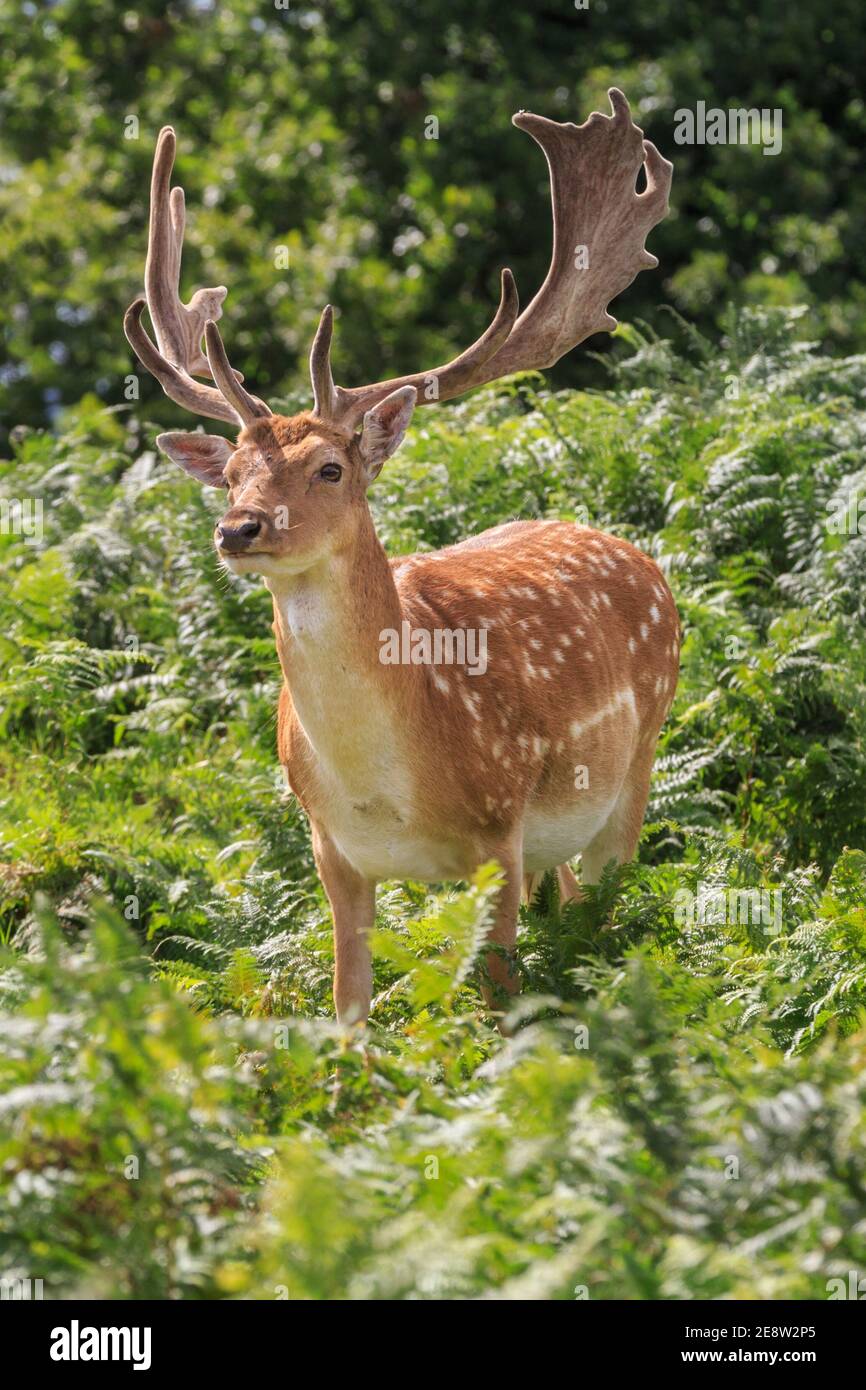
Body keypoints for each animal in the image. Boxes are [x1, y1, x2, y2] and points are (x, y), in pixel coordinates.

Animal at [124, 89, 678, 1027]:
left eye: (330, 468)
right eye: (230, 473)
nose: (240, 529)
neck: (387, 783)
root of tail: (638, 557)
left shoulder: (500, 831)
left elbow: (496, 1006)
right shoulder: (331, 851)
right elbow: (349, 1013)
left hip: (634, 767)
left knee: (608, 904)